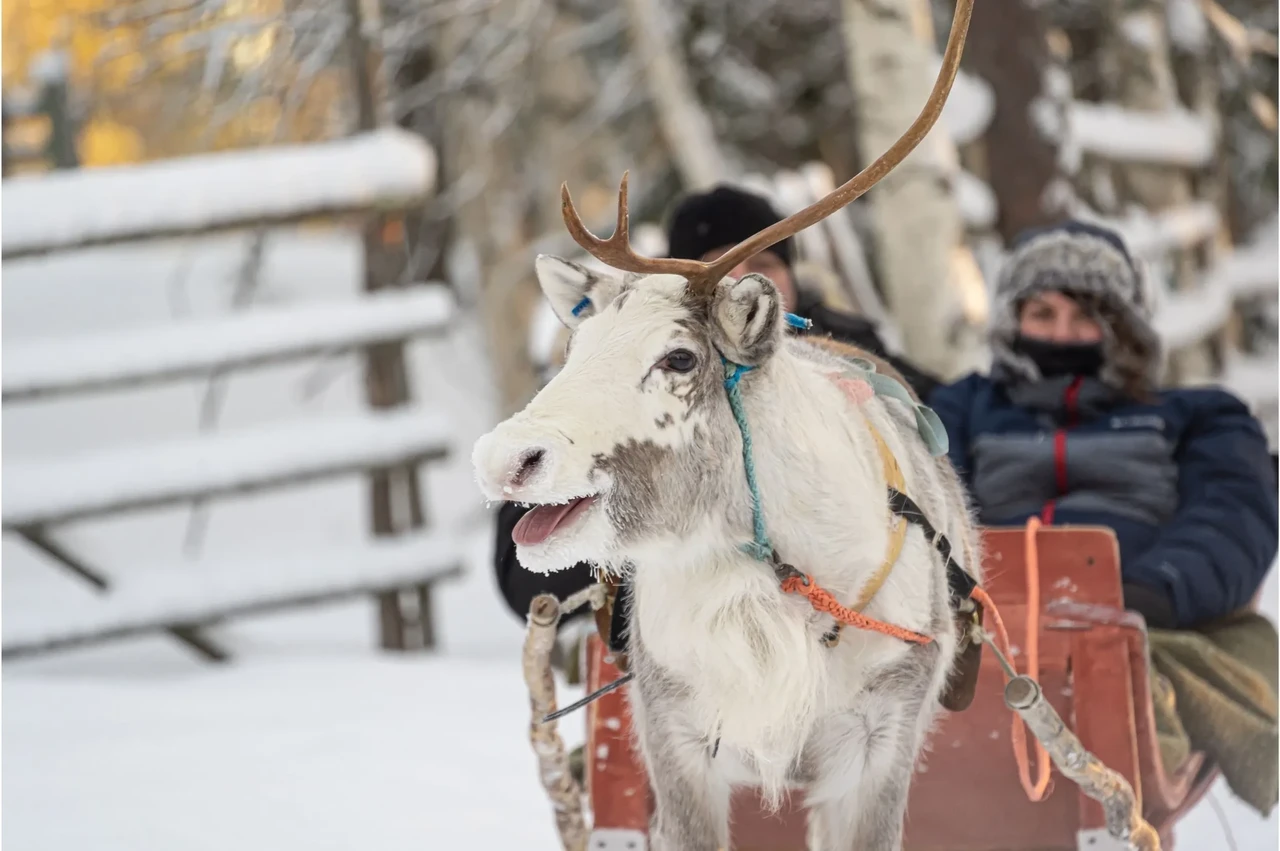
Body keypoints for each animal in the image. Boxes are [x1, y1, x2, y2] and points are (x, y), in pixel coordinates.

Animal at [472, 2, 983, 848]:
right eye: (574, 345)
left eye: (680, 357)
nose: (503, 458)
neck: (765, 581)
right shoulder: (673, 736)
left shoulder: (879, 741)